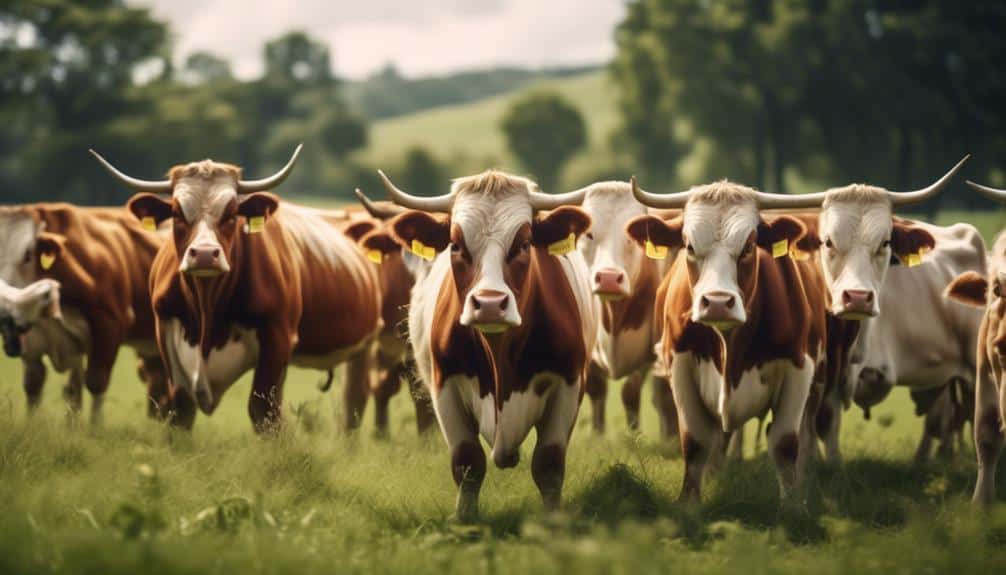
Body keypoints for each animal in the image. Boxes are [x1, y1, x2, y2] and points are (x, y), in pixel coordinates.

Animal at [0, 204, 166, 422]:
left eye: (28, 255)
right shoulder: (34, 344)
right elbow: (38, 386)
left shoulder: (110, 326)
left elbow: (96, 383)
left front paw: (94, 427)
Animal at [90, 146, 383, 433]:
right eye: (176, 213)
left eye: (231, 214)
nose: (205, 254)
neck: (207, 311)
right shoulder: (167, 336)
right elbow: (181, 412)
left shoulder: (277, 337)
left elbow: (263, 413)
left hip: (364, 346)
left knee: (353, 402)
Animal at [376, 169, 597, 521]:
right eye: (455, 244)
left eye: (524, 244)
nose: (490, 304)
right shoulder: (445, 387)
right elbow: (467, 461)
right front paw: (465, 519)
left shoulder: (570, 384)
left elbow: (548, 463)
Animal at [574, 182, 677, 437]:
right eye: (589, 233)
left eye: (632, 236)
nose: (609, 278)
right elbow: (597, 390)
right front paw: (597, 435)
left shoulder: (648, 352)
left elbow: (630, 392)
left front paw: (634, 436)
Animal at [626, 179, 827, 506]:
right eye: (689, 246)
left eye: (748, 246)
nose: (718, 303)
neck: (728, 345)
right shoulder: (679, 364)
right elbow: (695, 440)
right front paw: (689, 502)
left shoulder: (801, 366)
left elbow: (785, 443)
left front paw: (792, 505)